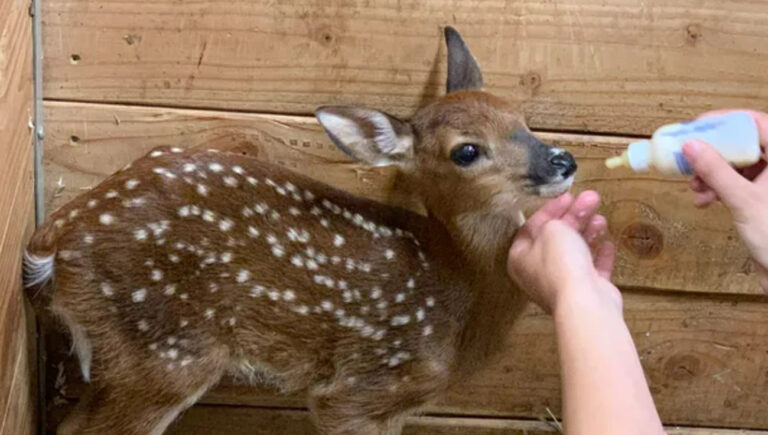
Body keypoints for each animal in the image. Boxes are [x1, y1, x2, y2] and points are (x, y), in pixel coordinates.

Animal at [24, 27, 577, 435]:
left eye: (520, 117)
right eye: (466, 151)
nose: (562, 161)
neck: (458, 282)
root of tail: (54, 239)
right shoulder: (363, 388)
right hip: (163, 349)